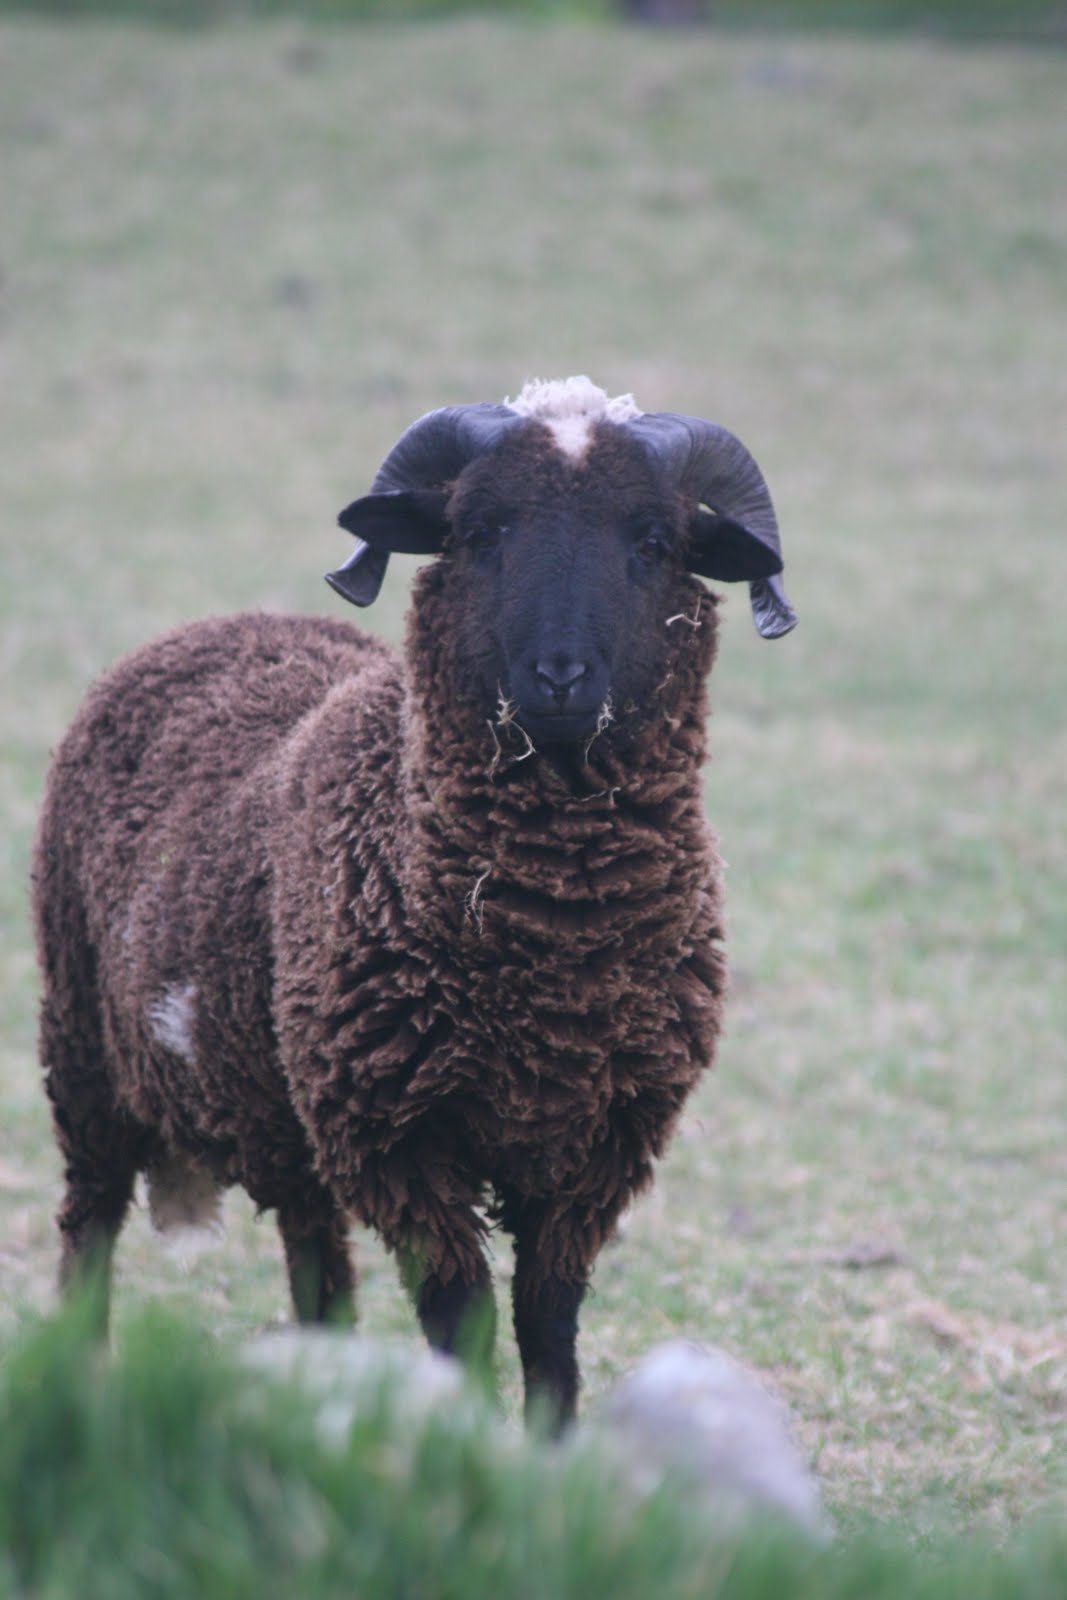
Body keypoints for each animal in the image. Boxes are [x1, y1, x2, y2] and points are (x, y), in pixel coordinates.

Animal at [32, 376, 795, 1428]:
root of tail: (223, 625)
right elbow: (461, 1318)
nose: (560, 677)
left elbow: (547, 1323)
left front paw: (550, 1450)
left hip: (284, 1108)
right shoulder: (397, 1138)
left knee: (315, 1261)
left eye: (652, 541)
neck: (550, 949)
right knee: (89, 1231)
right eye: (479, 532)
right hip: (86, 1054)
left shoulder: (597, 1145)